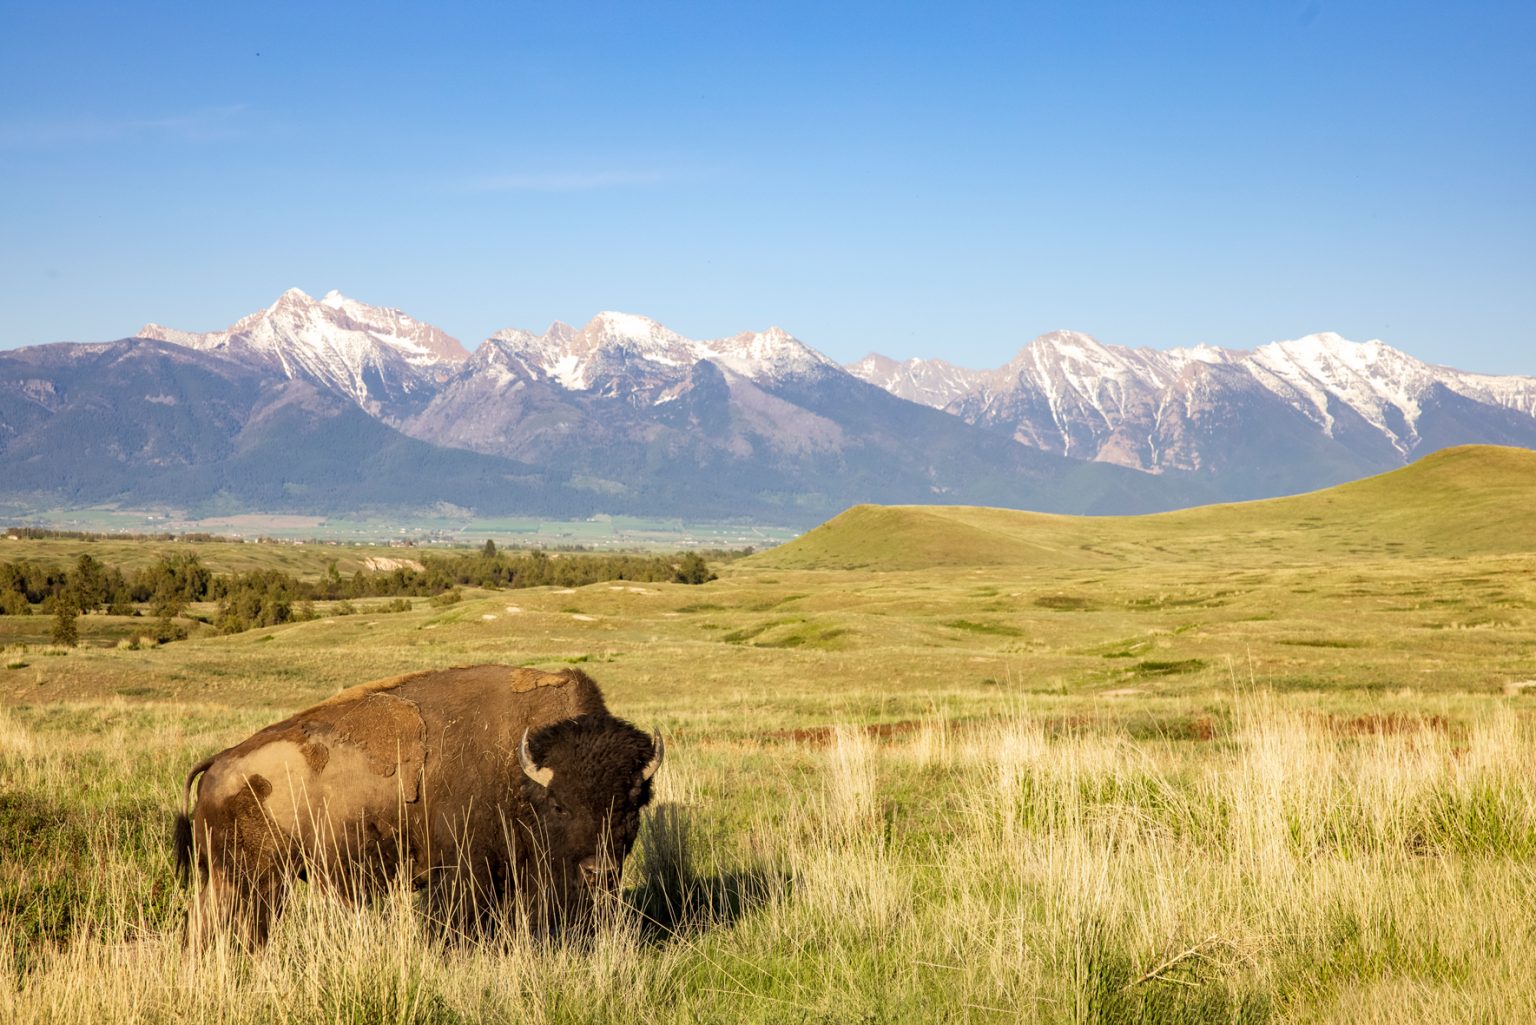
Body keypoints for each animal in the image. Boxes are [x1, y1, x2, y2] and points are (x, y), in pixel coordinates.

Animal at [173, 664, 662, 946]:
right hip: (251, 880)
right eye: (560, 805)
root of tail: (219, 763)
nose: (599, 871)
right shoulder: (467, 874)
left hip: (227, 879)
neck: (519, 771)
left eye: (632, 805)